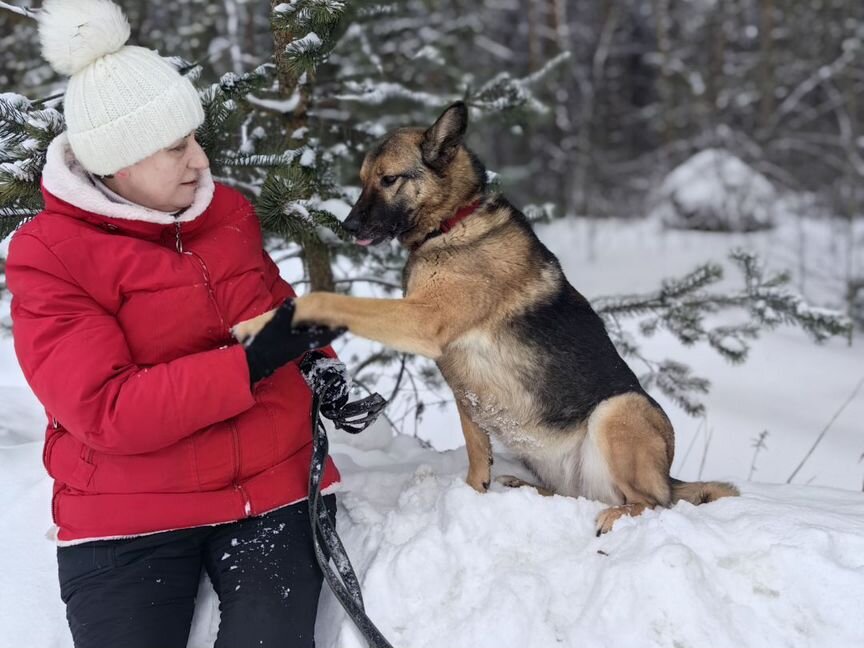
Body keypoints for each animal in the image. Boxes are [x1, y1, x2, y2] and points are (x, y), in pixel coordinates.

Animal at [233, 102, 740, 536]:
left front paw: (265, 323)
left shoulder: (421, 321)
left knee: (653, 502)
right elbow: (478, 453)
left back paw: (618, 516)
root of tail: (668, 477)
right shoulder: (465, 391)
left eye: (390, 179)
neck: (451, 223)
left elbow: (327, 299)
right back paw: (526, 488)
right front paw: (475, 494)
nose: (349, 227)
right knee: (580, 493)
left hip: (621, 411)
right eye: (362, 180)